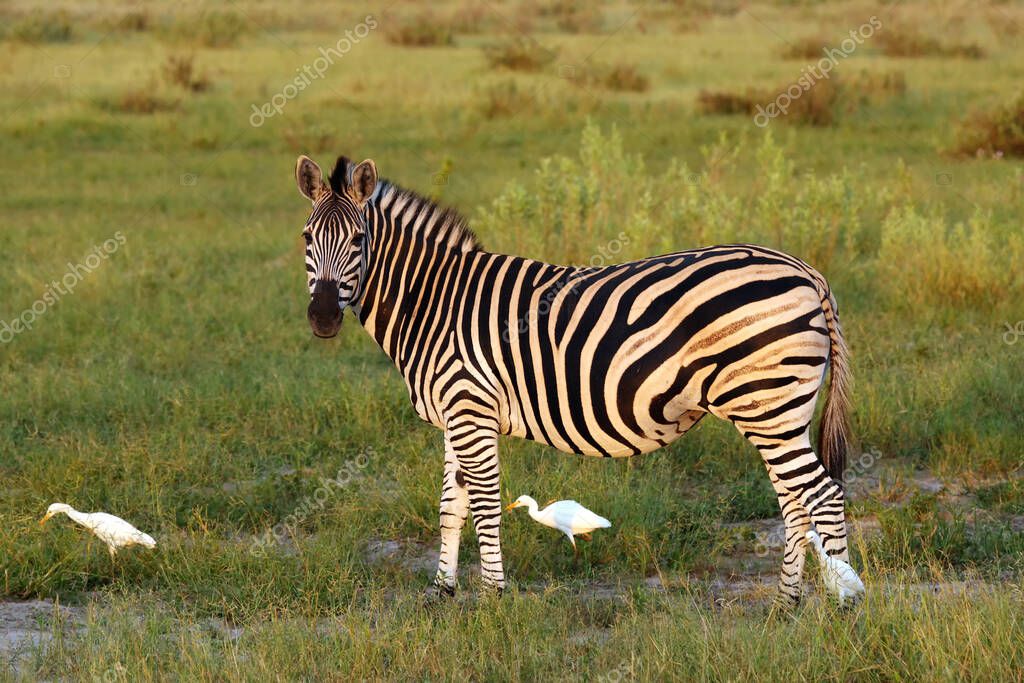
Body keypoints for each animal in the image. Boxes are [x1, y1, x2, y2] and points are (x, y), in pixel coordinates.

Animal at [294, 153, 859, 605]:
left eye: (359, 239)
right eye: (306, 238)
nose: (321, 318)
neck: (436, 303)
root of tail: (806, 270)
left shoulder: (472, 410)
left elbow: (485, 506)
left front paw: (493, 599)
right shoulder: (456, 416)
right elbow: (450, 506)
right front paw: (442, 593)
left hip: (766, 406)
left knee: (822, 498)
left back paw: (842, 607)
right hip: (781, 413)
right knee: (796, 504)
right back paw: (785, 605)